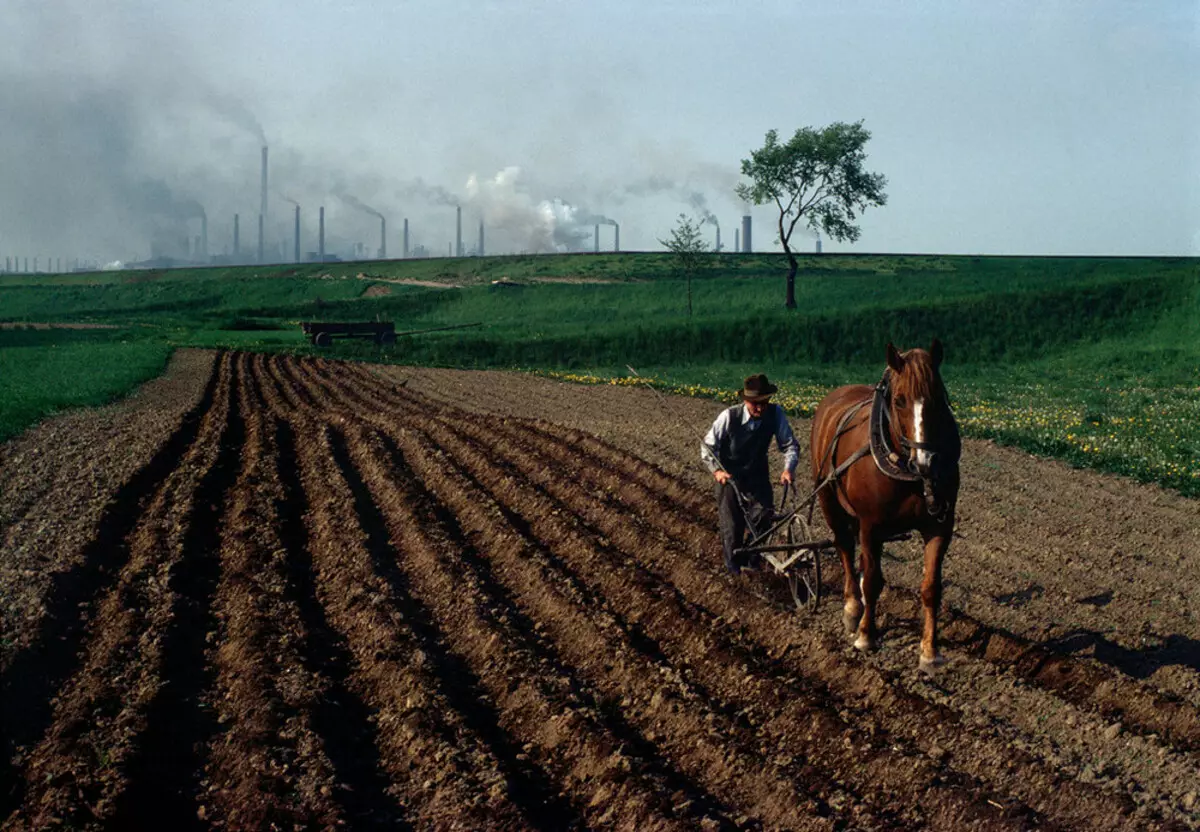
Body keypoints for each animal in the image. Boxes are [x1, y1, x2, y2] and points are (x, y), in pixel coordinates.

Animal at [811, 340, 960, 672]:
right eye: (899, 400)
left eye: (938, 397)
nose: (926, 461)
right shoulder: (871, 525)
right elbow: (873, 581)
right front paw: (867, 636)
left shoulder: (939, 526)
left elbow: (931, 587)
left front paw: (929, 652)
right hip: (828, 500)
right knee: (844, 547)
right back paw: (853, 608)